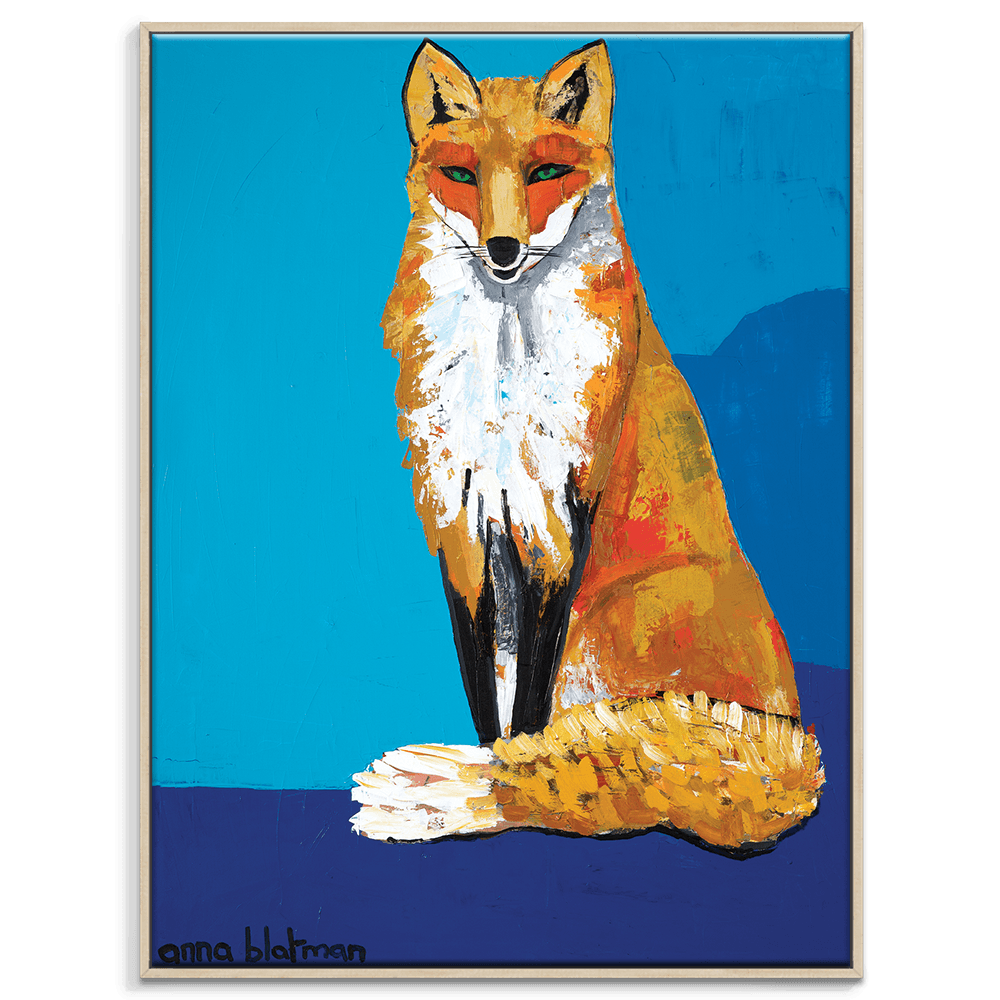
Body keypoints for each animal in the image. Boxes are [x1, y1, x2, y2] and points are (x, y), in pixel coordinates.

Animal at [351, 39, 824, 852]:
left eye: (546, 172)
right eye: (461, 175)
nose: (503, 247)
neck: (503, 375)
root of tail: (789, 749)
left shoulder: (553, 520)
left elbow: (528, 721)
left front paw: (500, 771)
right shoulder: (462, 525)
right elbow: (491, 696)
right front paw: (489, 751)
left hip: (612, 620)